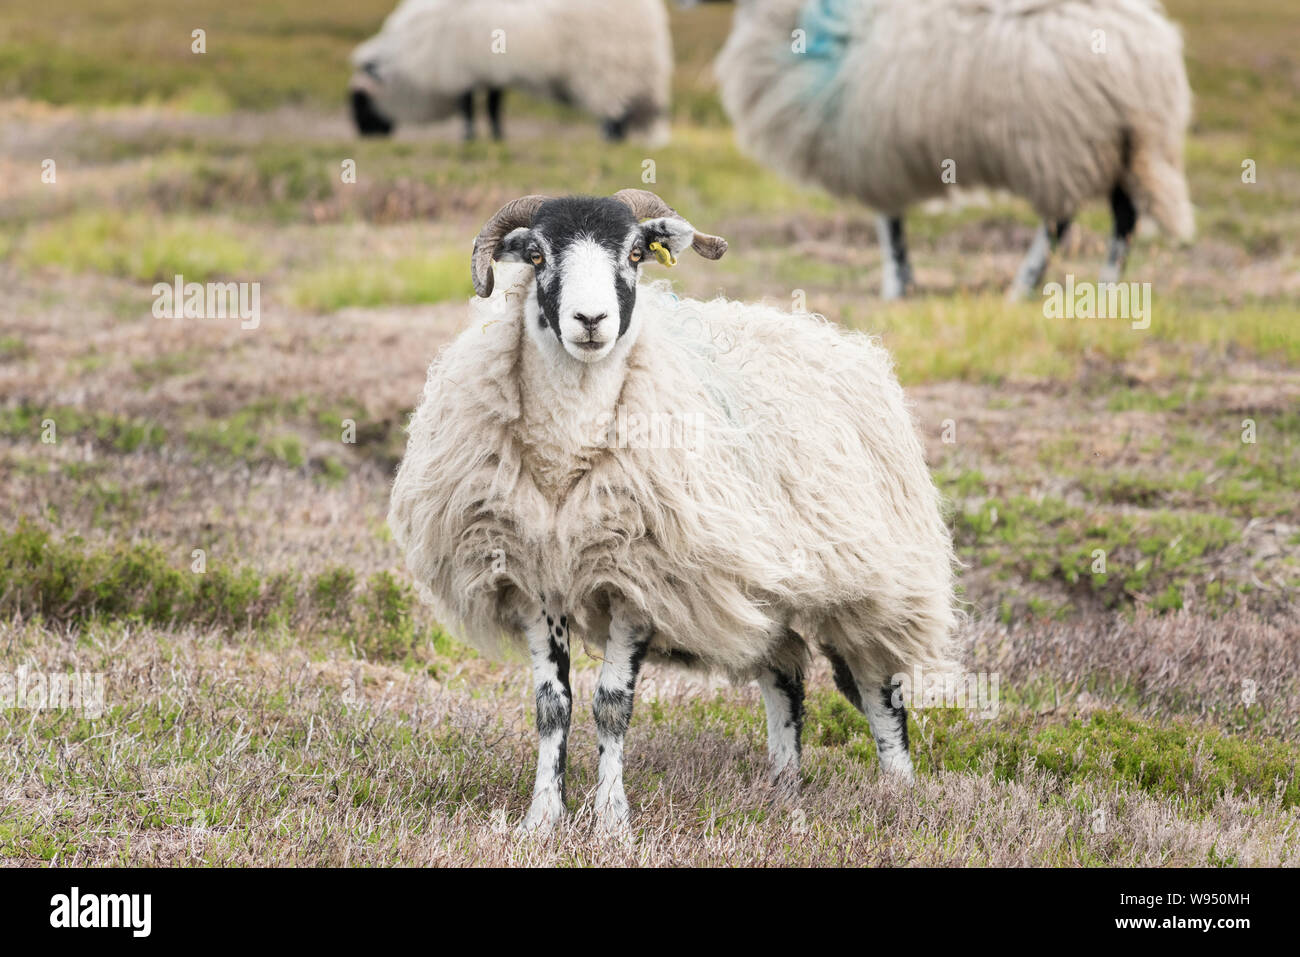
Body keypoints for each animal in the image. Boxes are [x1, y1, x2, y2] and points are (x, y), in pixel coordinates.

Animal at [349, 0, 673, 143]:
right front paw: (496, 136)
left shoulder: (461, 69)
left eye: (359, 101)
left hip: (608, 65)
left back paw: (611, 140)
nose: (366, 136)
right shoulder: (489, 71)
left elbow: (469, 106)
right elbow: (492, 104)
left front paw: (469, 137)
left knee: (616, 109)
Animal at [387, 189, 958, 833]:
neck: (566, 454)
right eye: (536, 255)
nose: (591, 321)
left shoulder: (641, 578)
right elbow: (551, 706)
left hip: (875, 577)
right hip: (765, 588)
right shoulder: (535, 580)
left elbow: (611, 705)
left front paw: (611, 822)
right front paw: (543, 819)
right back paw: (783, 788)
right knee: (784, 673)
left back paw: (898, 790)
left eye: (636, 253)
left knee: (878, 684)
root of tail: (835, 337)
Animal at [715, 0, 1195, 299]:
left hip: (1064, 146)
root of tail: (1149, 51)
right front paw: (903, 283)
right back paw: (1106, 288)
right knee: (1124, 215)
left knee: (1063, 222)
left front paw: (897, 285)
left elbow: (888, 222)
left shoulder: (873, 147)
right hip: (1116, 147)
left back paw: (1024, 288)